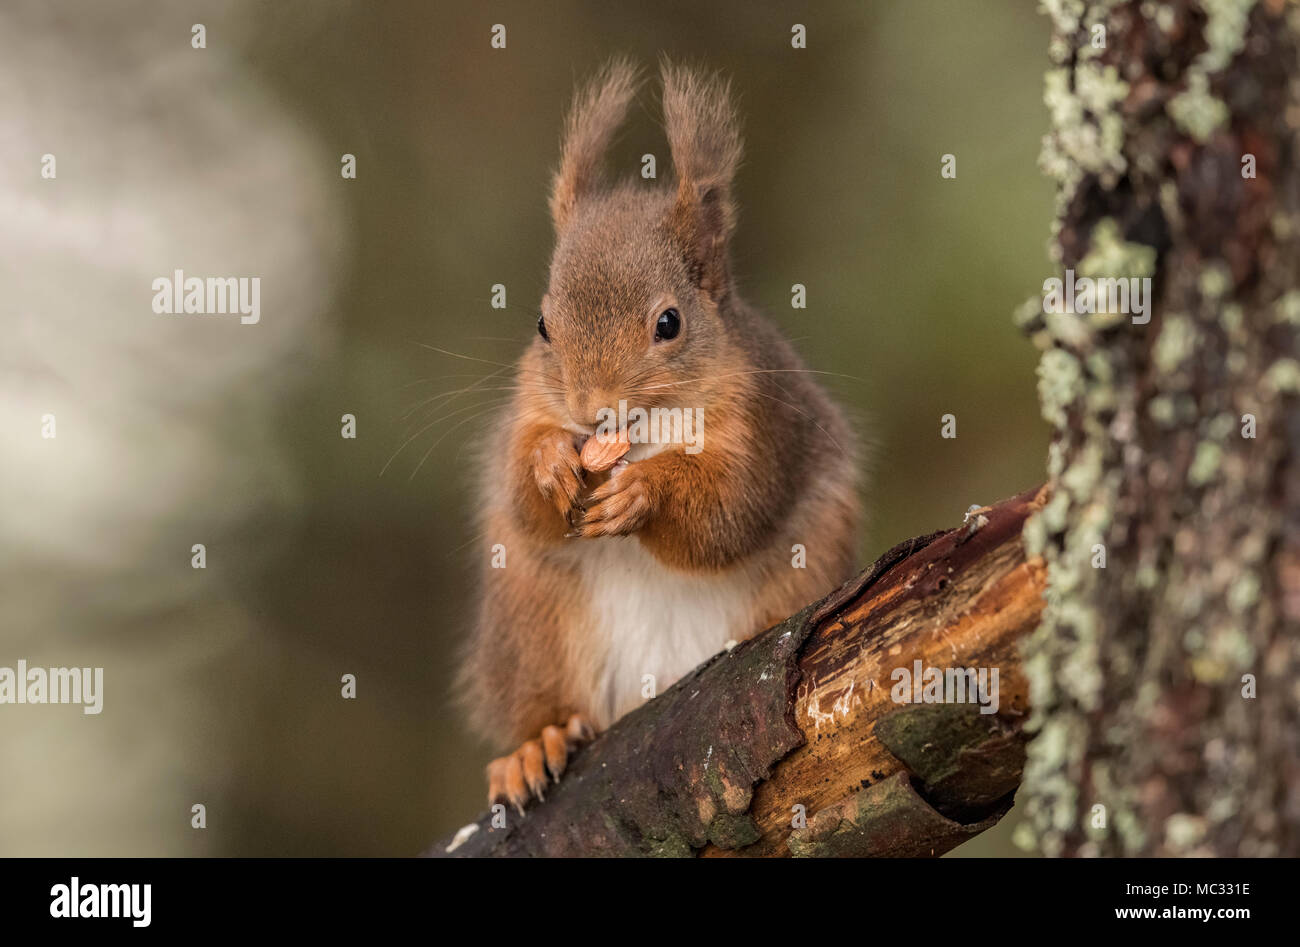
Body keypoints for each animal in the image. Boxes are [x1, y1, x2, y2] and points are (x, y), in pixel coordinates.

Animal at [457, 59, 862, 812]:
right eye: (542, 325)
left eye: (669, 324)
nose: (590, 410)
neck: (643, 433)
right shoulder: (527, 411)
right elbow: (523, 495)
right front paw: (551, 464)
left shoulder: (764, 425)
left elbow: (731, 510)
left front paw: (646, 492)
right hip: (528, 623)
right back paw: (535, 746)